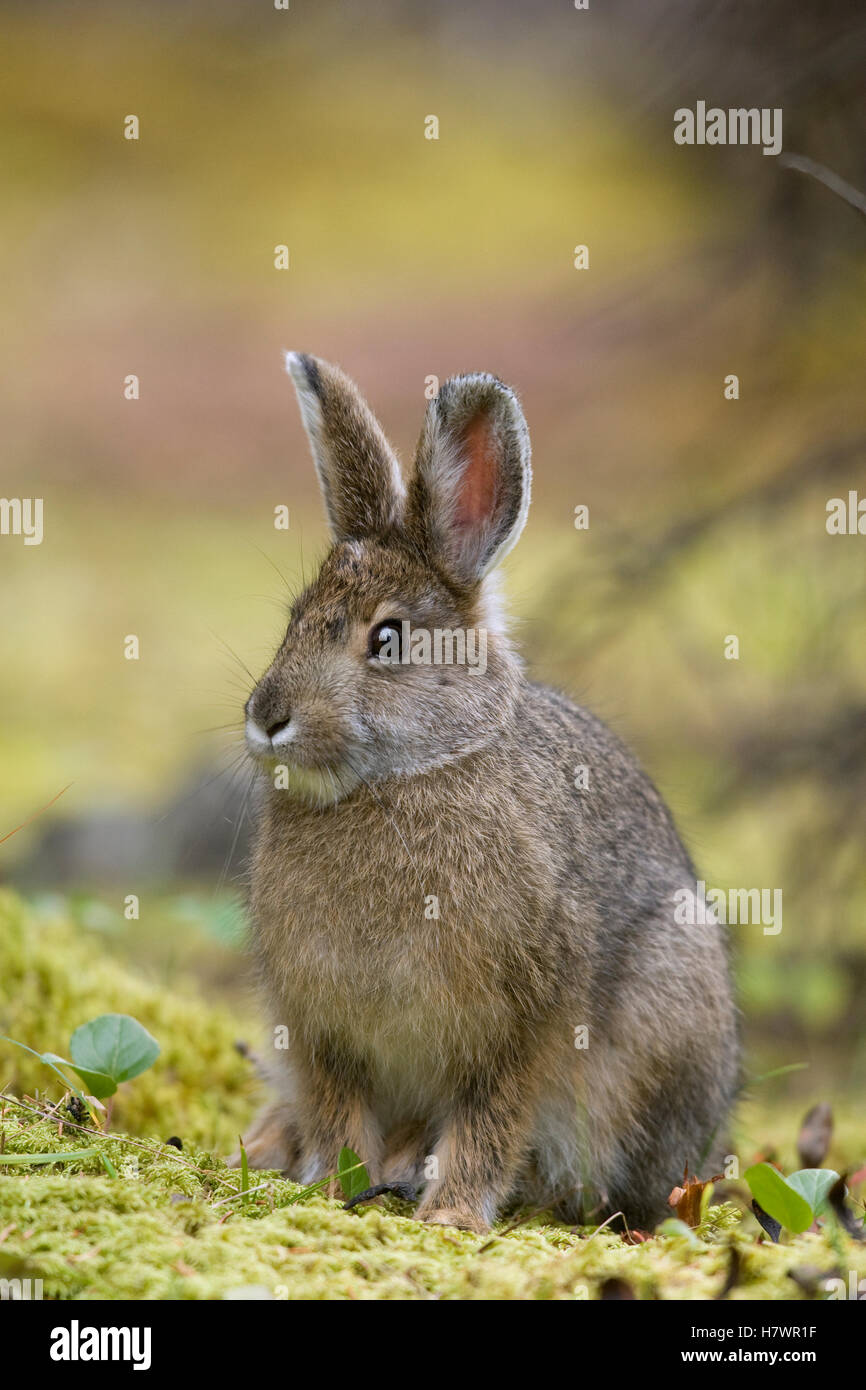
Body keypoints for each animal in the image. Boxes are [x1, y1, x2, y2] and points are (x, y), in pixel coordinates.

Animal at [235, 351, 739, 1234]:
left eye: (387, 639)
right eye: (294, 618)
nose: (266, 717)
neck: (413, 774)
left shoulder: (522, 1029)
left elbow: (491, 1117)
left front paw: (453, 1217)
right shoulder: (322, 1029)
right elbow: (339, 1114)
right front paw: (330, 1190)